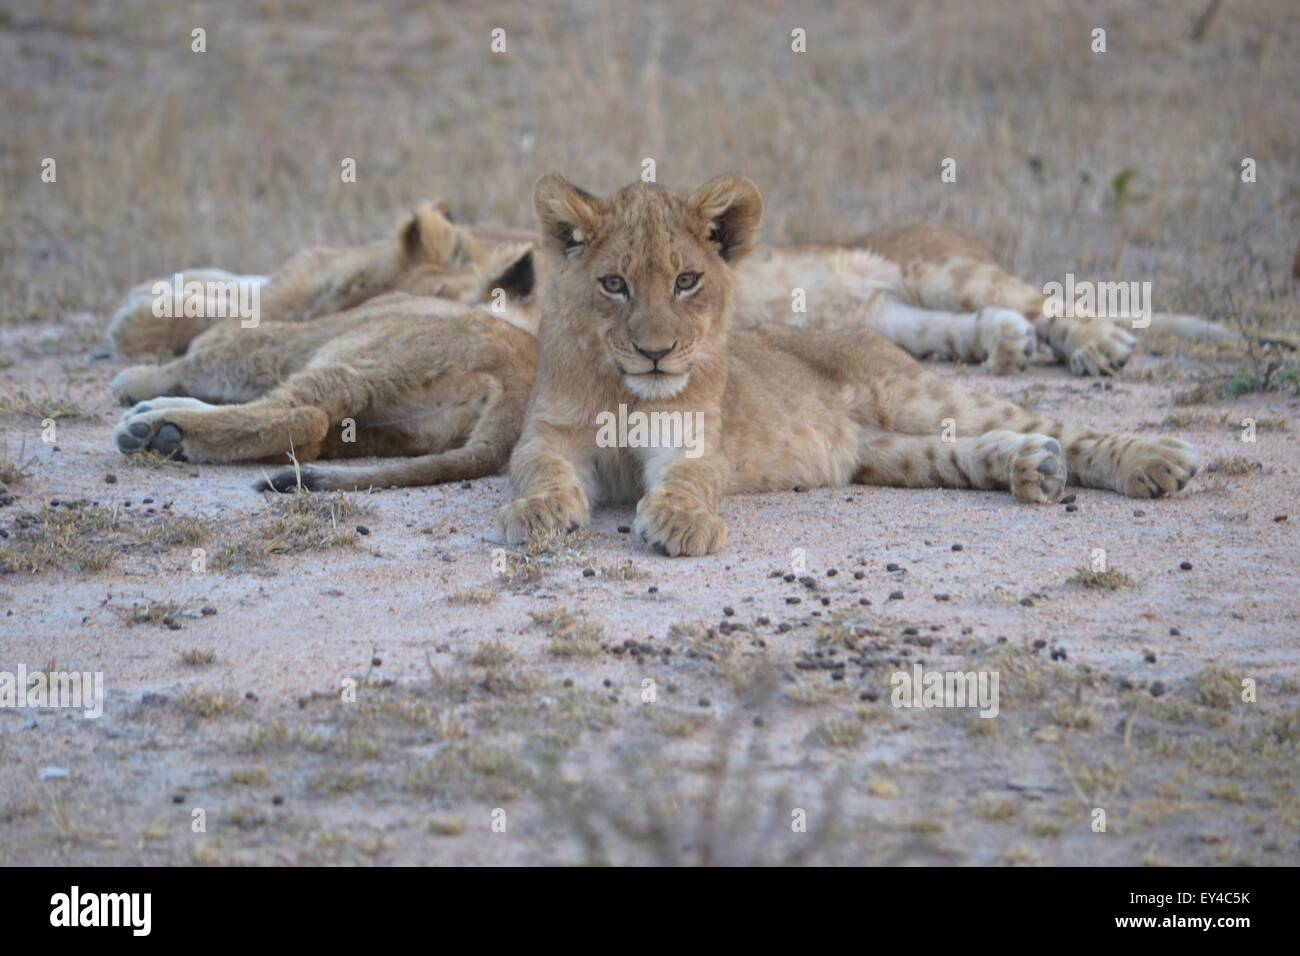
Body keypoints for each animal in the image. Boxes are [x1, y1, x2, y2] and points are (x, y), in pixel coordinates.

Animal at [497, 173, 1199, 557]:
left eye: (686, 281)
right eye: (614, 285)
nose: (655, 352)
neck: (624, 390)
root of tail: (863, 328)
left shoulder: (693, 440)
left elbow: (690, 480)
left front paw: (681, 521)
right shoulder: (548, 436)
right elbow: (540, 470)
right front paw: (539, 513)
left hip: (915, 392)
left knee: (1056, 423)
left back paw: (1157, 460)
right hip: (884, 453)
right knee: (966, 449)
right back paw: (1032, 466)